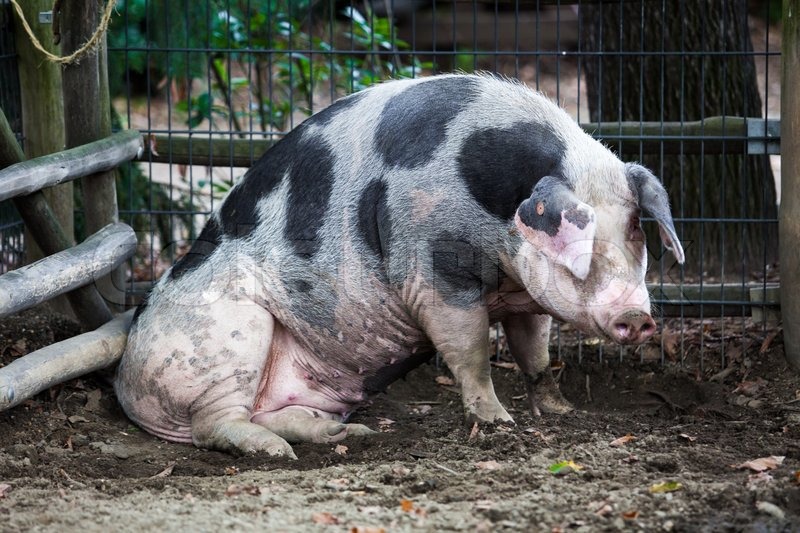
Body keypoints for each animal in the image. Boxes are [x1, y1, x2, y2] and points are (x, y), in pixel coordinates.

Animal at [115, 73, 684, 458]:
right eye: (580, 245)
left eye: (636, 229)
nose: (637, 316)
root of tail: (124, 378)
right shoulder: (431, 269)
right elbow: (472, 353)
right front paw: (500, 423)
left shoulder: (526, 295)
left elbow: (536, 354)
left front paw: (563, 410)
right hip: (226, 335)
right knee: (214, 424)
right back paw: (278, 453)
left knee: (278, 415)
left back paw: (351, 433)